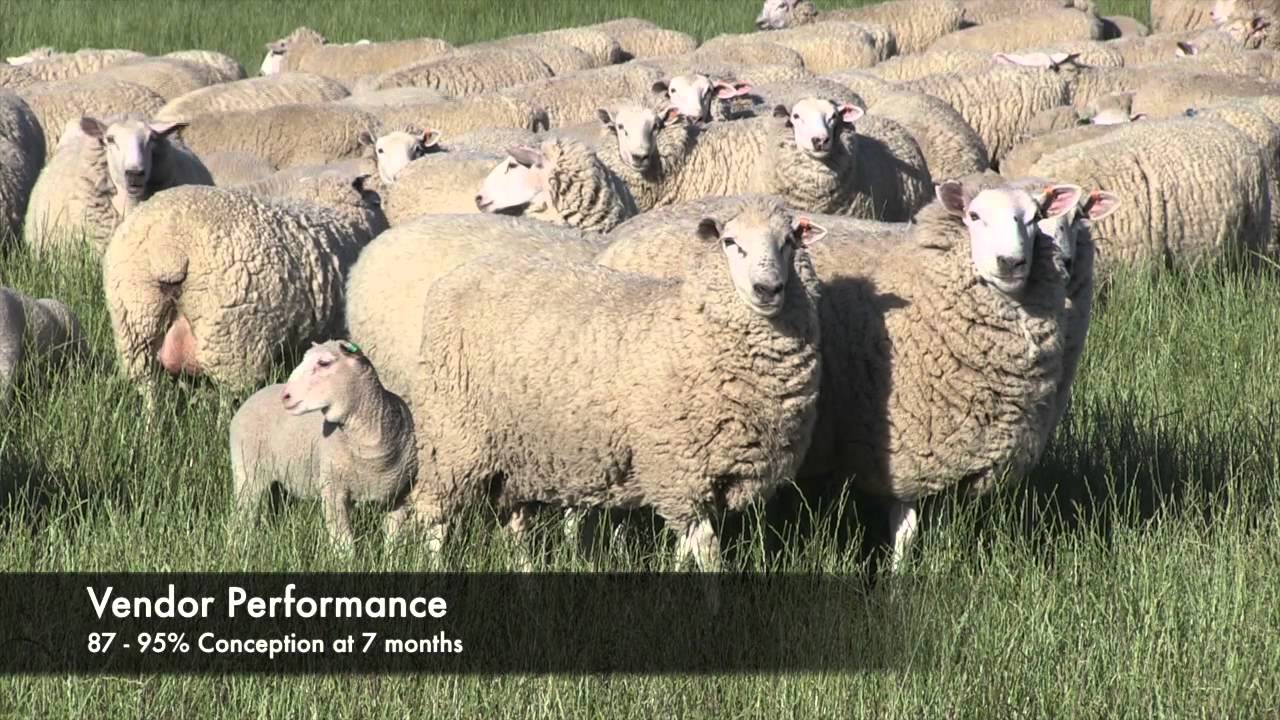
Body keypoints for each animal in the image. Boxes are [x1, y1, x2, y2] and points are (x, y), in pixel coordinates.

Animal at [229, 340, 416, 549]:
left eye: (324, 363)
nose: (285, 396)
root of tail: (258, 393)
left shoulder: (401, 495)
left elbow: (395, 538)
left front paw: (391, 554)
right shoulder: (333, 488)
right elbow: (344, 541)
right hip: (247, 471)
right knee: (244, 514)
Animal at [399, 196, 825, 568]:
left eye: (789, 242)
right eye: (730, 242)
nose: (768, 289)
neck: (688, 327)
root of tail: (453, 278)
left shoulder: (707, 479)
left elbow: (685, 549)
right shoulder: (678, 471)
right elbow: (705, 549)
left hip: (517, 454)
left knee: (514, 529)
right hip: (453, 440)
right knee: (429, 519)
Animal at [801, 179, 1082, 568]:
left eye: (1036, 217)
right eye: (974, 215)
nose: (1011, 262)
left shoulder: (958, 458)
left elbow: (945, 525)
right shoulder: (905, 448)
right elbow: (906, 529)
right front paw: (898, 573)